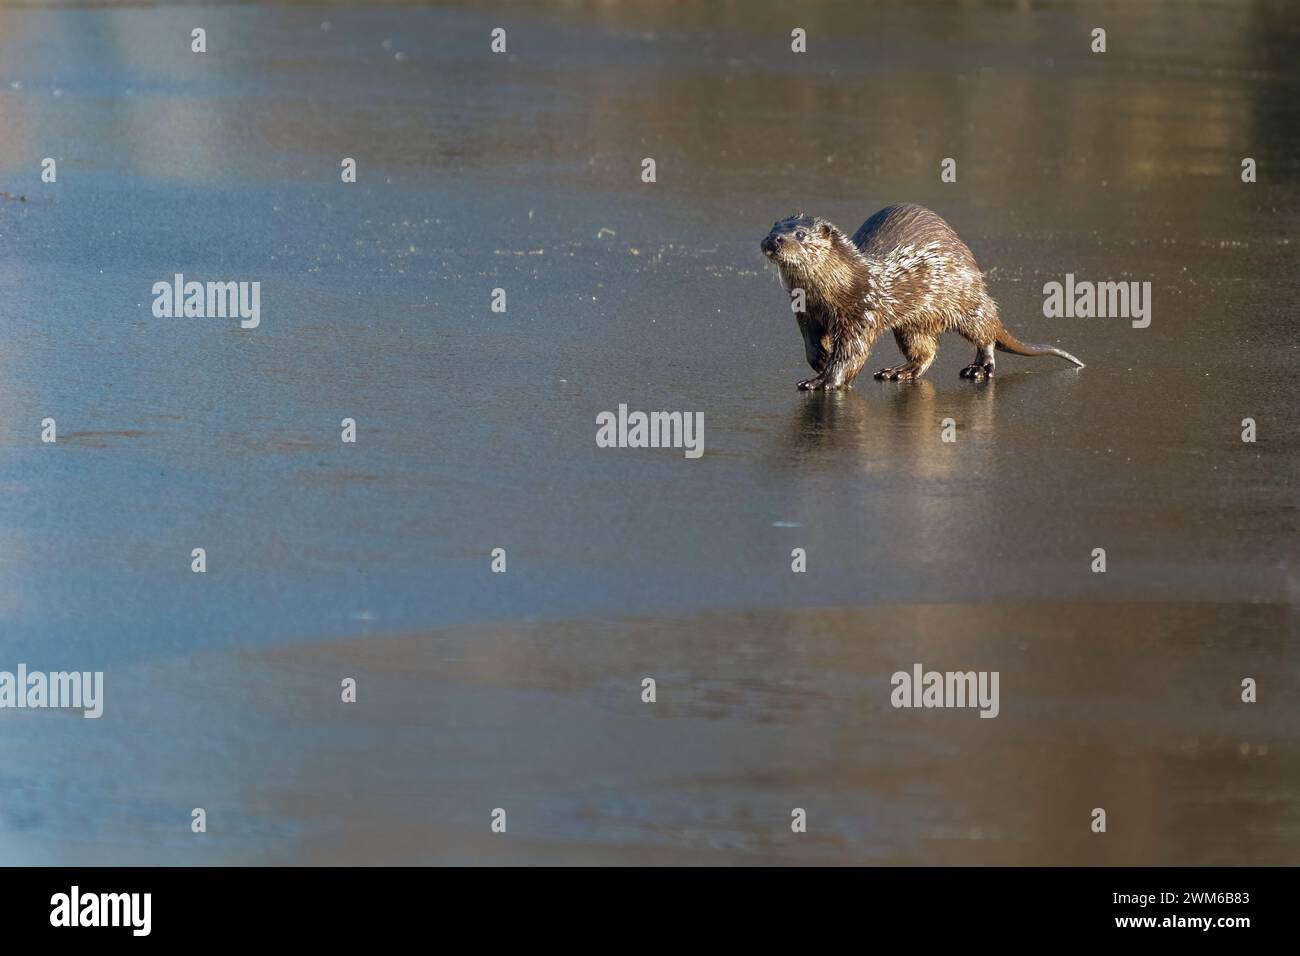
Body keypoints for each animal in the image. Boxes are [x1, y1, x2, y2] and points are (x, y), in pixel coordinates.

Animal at [760, 203, 1084, 389]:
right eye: (773, 227)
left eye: (800, 235)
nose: (773, 240)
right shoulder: (804, 312)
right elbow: (810, 338)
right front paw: (819, 358)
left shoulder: (861, 312)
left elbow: (851, 354)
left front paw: (824, 381)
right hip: (912, 325)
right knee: (925, 351)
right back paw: (898, 371)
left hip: (964, 299)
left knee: (986, 332)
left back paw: (980, 368)